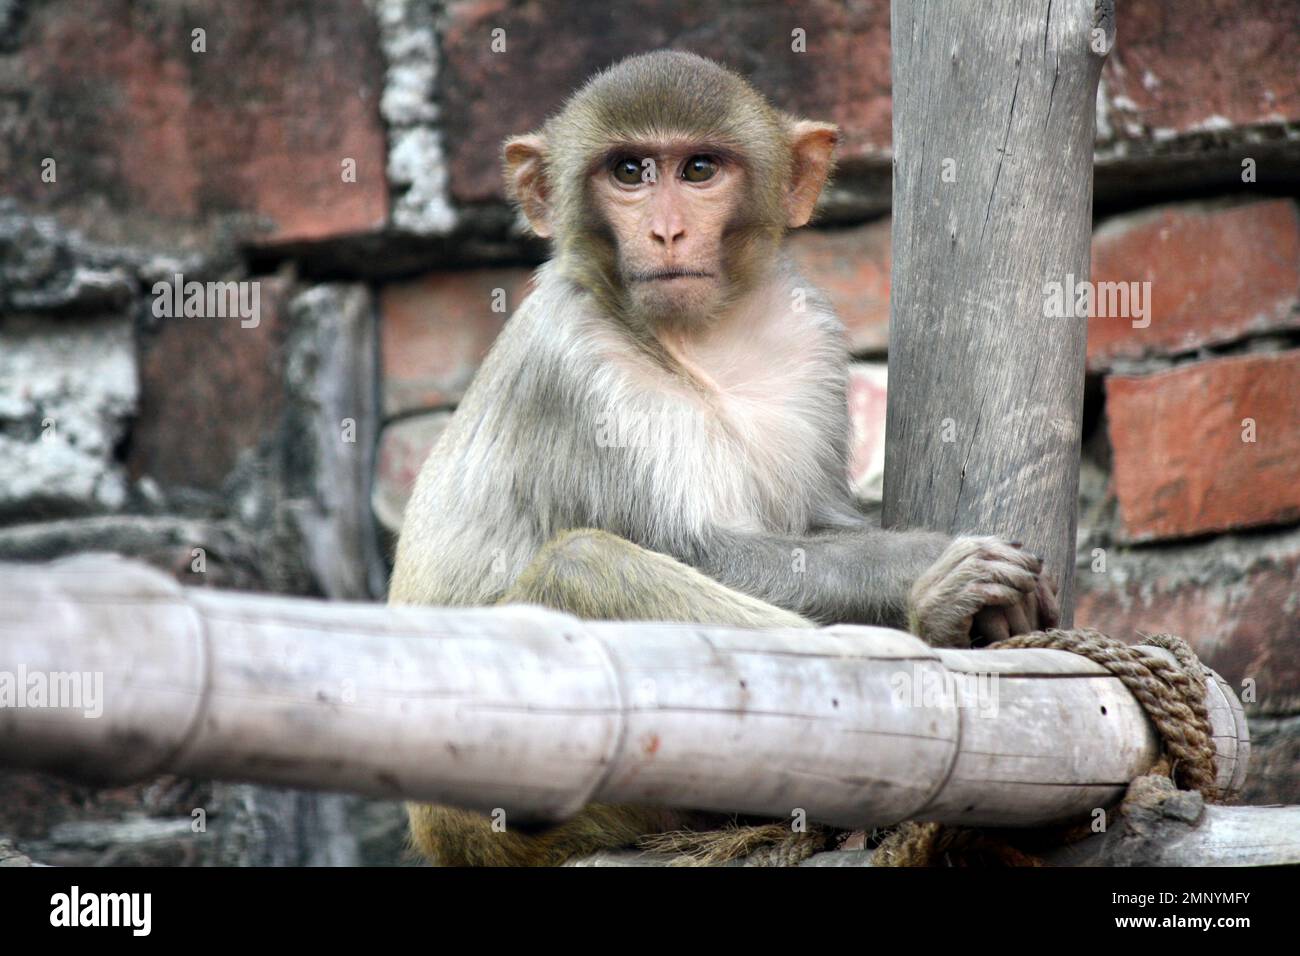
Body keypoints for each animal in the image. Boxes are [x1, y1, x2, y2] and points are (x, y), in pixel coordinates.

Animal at [389, 50, 1060, 866]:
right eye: (630, 171)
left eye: (699, 169)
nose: (667, 230)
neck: (699, 339)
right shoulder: (571, 368)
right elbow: (696, 547)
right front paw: (928, 567)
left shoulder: (811, 335)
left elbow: (817, 525)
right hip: (496, 804)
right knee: (583, 563)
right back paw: (927, 624)